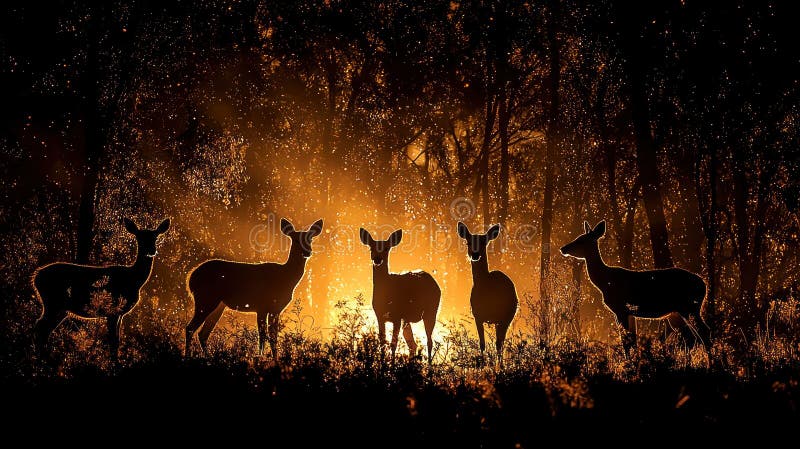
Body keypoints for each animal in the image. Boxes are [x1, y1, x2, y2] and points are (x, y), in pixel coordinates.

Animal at [32, 218, 171, 359]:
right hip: (53, 303)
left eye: (155, 237)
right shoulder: (112, 310)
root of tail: (36, 277)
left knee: (43, 329)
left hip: (60, 308)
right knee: (40, 327)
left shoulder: (119, 313)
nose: (152, 250)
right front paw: (114, 362)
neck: (134, 280)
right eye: (140, 238)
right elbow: (113, 341)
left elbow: (117, 339)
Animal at [186, 218, 323, 358]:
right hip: (206, 298)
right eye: (295, 240)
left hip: (218, 305)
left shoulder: (275, 309)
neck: (285, 278)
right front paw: (261, 357)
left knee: (202, 333)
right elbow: (262, 336)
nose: (307, 252)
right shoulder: (262, 305)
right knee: (190, 328)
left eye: (310, 239)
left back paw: (207, 357)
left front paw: (275, 358)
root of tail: (190, 278)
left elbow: (273, 337)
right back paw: (188, 355)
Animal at [359, 228, 441, 364]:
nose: (377, 259)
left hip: (431, 311)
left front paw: (391, 366)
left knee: (429, 341)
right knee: (413, 344)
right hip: (407, 319)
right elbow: (382, 341)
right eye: (371, 247)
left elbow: (393, 343)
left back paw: (429, 366)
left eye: (386, 248)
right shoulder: (379, 315)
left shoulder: (397, 316)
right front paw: (383, 364)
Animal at [457, 222, 518, 367]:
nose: (475, 254)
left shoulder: (502, 316)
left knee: (500, 342)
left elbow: (498, 343)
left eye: (484, 243)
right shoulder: (477, 315)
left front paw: (499, 366)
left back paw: (500, 363)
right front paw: (483, 364)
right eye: (468, 242)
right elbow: (482, 343)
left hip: (508, 315)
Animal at [560, 220, 711, 355]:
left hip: (689, 307)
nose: (563, 248)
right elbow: (632, 340)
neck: (605, 281)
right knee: (690, 337)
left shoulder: (621, 308)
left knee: (703, 332)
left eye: (581, 240)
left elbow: (626, 341)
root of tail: (704, 285)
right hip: (677, 312)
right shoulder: (630, 312)